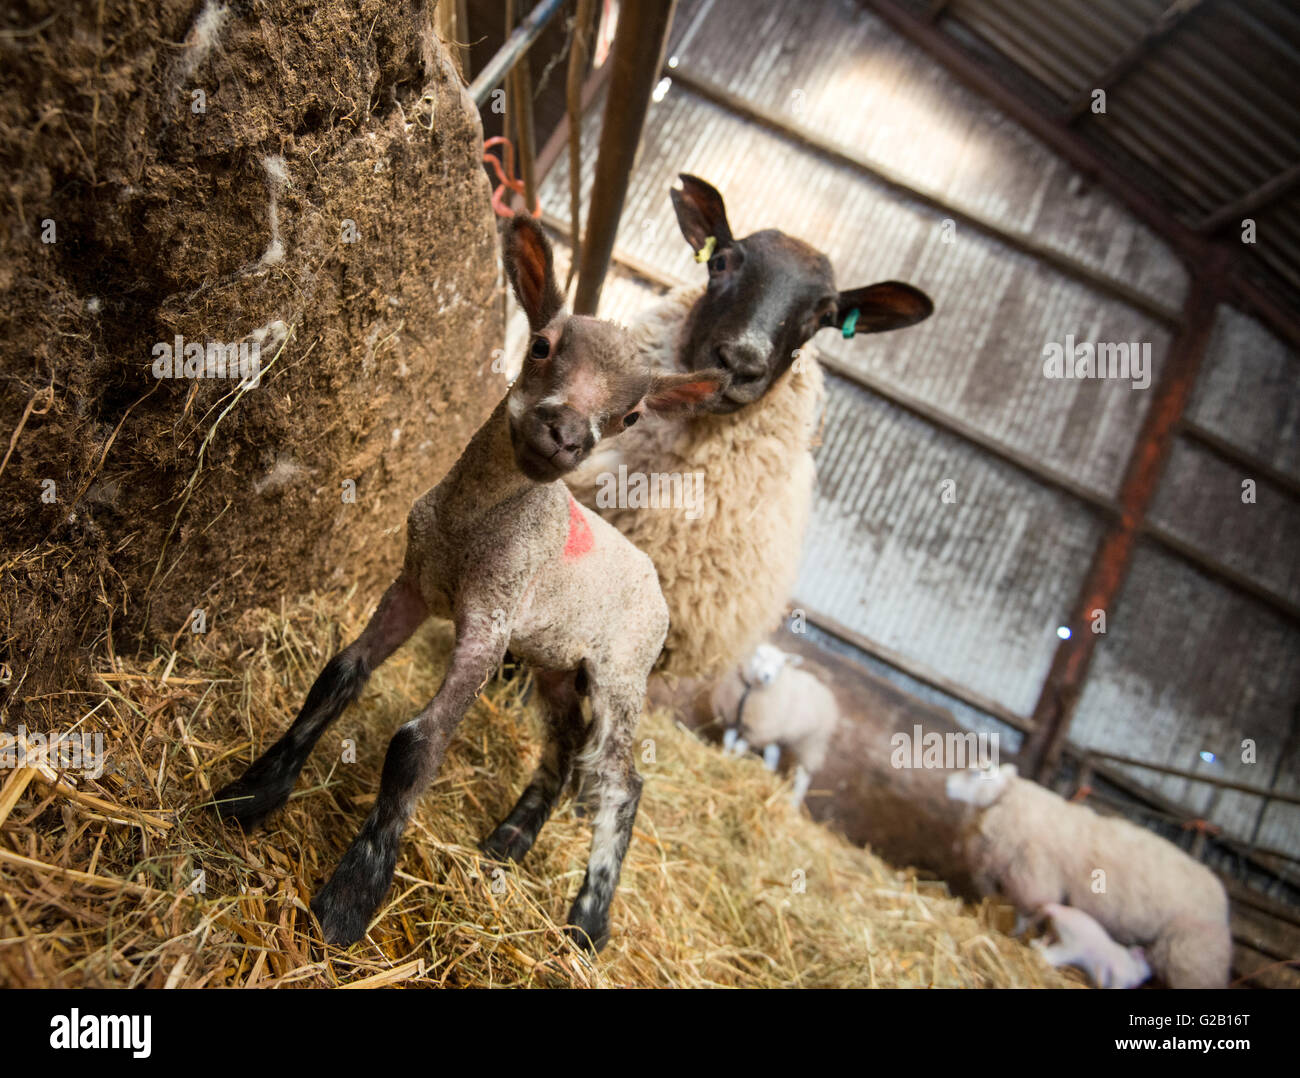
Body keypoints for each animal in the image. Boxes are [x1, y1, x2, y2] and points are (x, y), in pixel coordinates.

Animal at [213, 214, 729, 951]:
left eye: (632, 417)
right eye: (541, 346)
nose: (566, 434)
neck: (470, 523)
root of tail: (657, 584)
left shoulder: (489, 623)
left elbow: (417, 745)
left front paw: (349, 901)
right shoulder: (412, 587)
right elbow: (339, 674)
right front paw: (250, 795)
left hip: (622, 671)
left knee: (619, 781)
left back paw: (587, 923)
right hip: (554, 662)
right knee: (565, 748)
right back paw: (510, 840)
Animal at [710, 643, 839, 805]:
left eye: (780, 666)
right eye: (759, 655)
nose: (767, 676)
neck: (750, 691)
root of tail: (827, 692)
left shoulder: (758, 732)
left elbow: (738, 747)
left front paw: (730, 762)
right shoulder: (731, 718)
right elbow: (728, 742)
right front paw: (722, 757)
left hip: (812, 742)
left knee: (804, 775)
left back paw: (794, 802)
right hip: (778, 736)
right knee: (773, 757)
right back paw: (767, 775)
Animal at [945, 763, 1232, 988]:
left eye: (977, 772)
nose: (947, 784)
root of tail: (1221, 901)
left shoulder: (1035, 881)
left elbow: (1024, 917)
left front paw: (1014, 936)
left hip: (1191, 961)